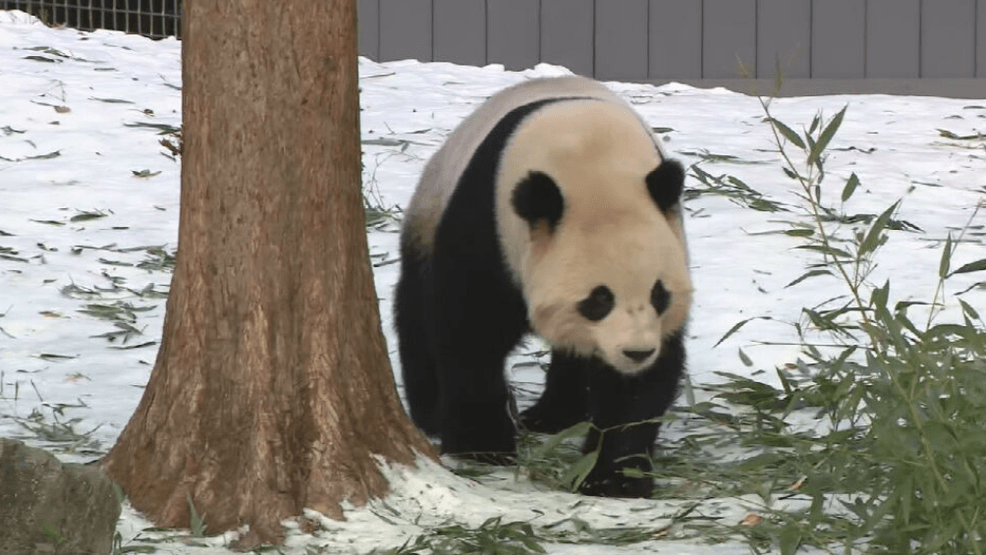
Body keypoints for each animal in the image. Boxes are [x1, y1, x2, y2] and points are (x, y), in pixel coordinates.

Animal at [394, 76, 691, 498]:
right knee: (415, 311)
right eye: (599, 299)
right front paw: (482, 447)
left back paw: (554, 417)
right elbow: (470, 329)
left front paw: (615, 479)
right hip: (428, 212)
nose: (636, 352)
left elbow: (639, 386)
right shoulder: (488, 223)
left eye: (659, 294)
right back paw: (431, 412)